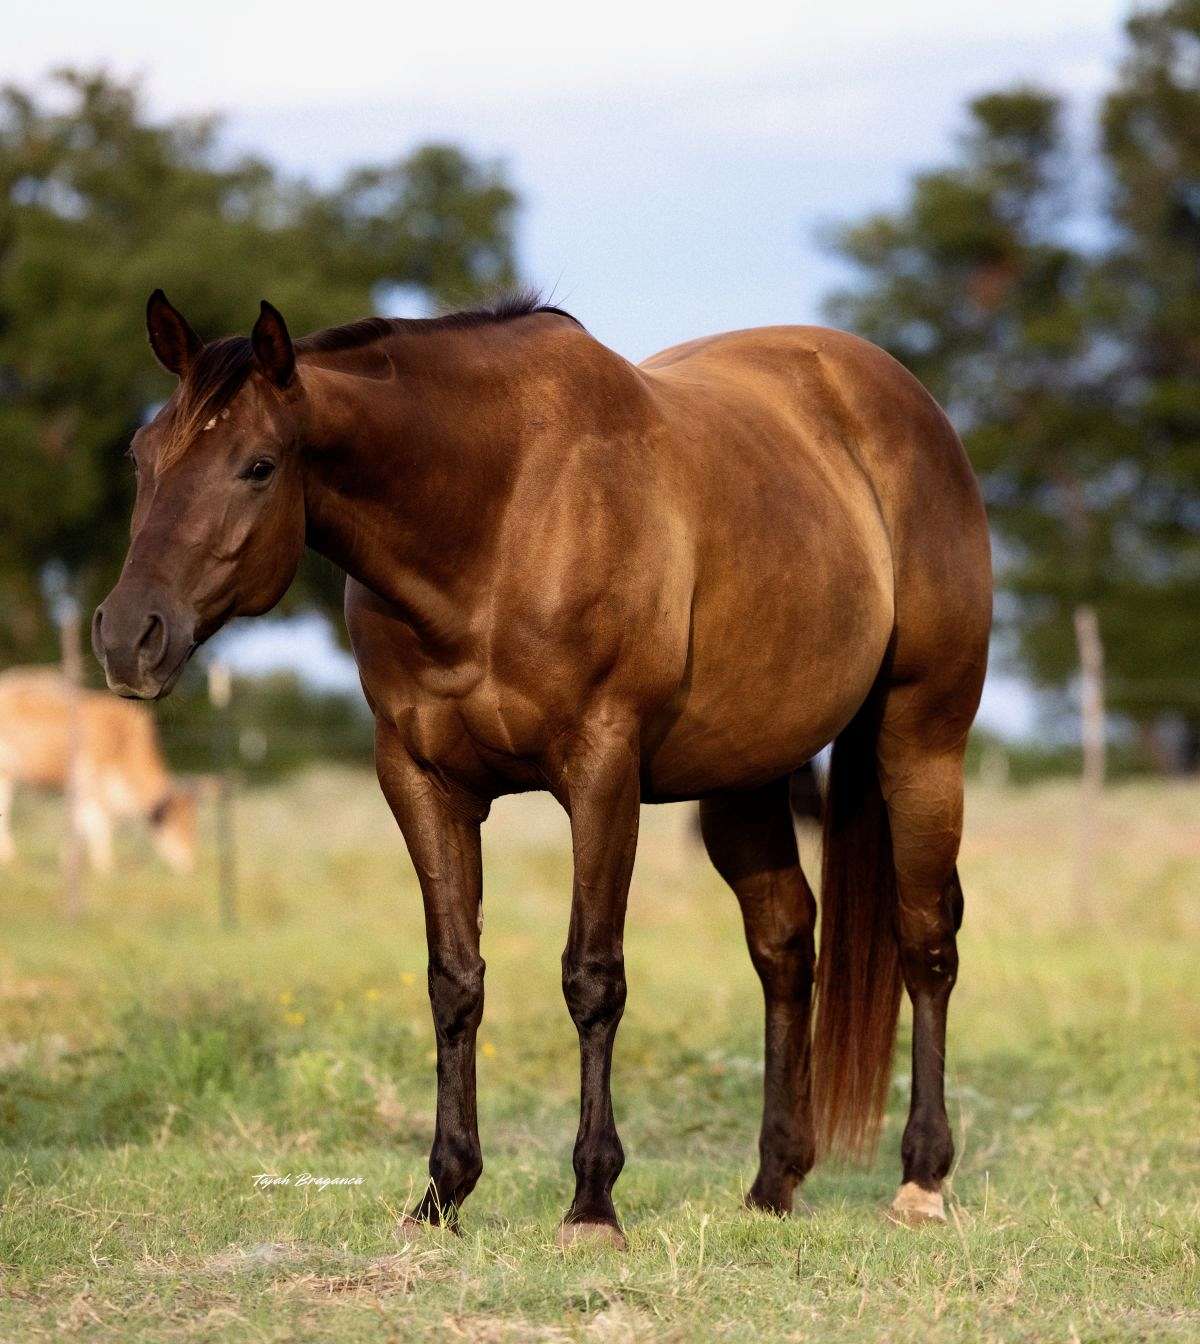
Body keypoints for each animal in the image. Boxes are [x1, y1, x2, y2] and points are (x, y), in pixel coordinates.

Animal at [94, 289, 991, 1246]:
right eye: (143, 456)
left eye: (258, 466)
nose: (128, 636)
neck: (499, 520)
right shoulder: (421, 782)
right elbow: (454, 981)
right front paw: (443, 1194)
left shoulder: (601, 774)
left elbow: (592, 978)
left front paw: (592, 1204)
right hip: (744, 775)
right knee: (785, 944)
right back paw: (773, 1183)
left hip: (922, 741)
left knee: (926, 941)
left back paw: (922, 1180)